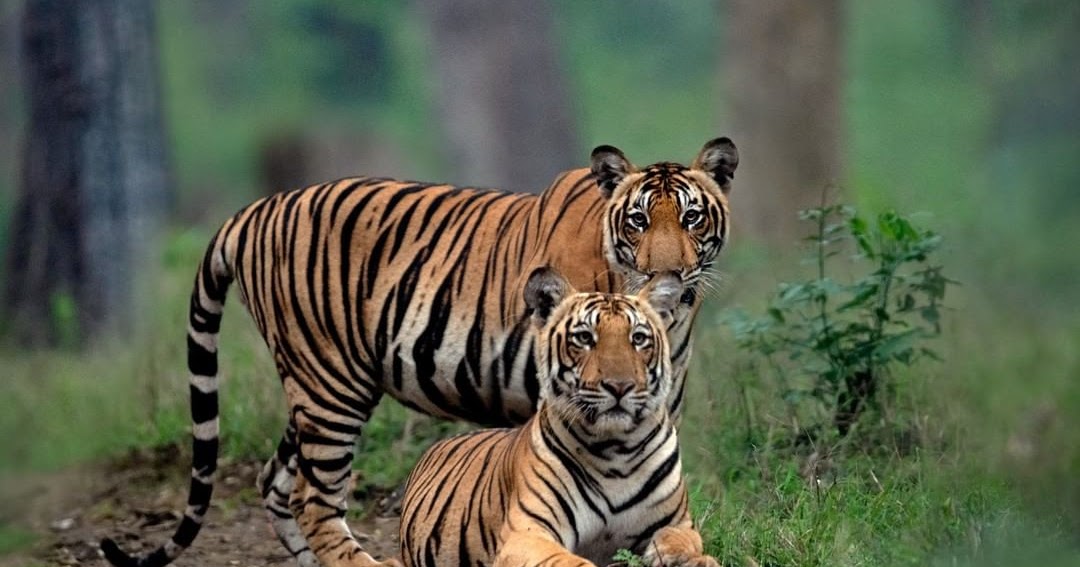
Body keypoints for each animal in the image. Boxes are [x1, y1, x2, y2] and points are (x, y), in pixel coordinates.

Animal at [399, 268, 718, 567]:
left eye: (638, 338)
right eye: (585, 337)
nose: (620, 386)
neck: (617, 452)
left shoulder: (679, 523)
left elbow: (682, 540)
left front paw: (685, 558)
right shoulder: (526, 532)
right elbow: (571, 561)